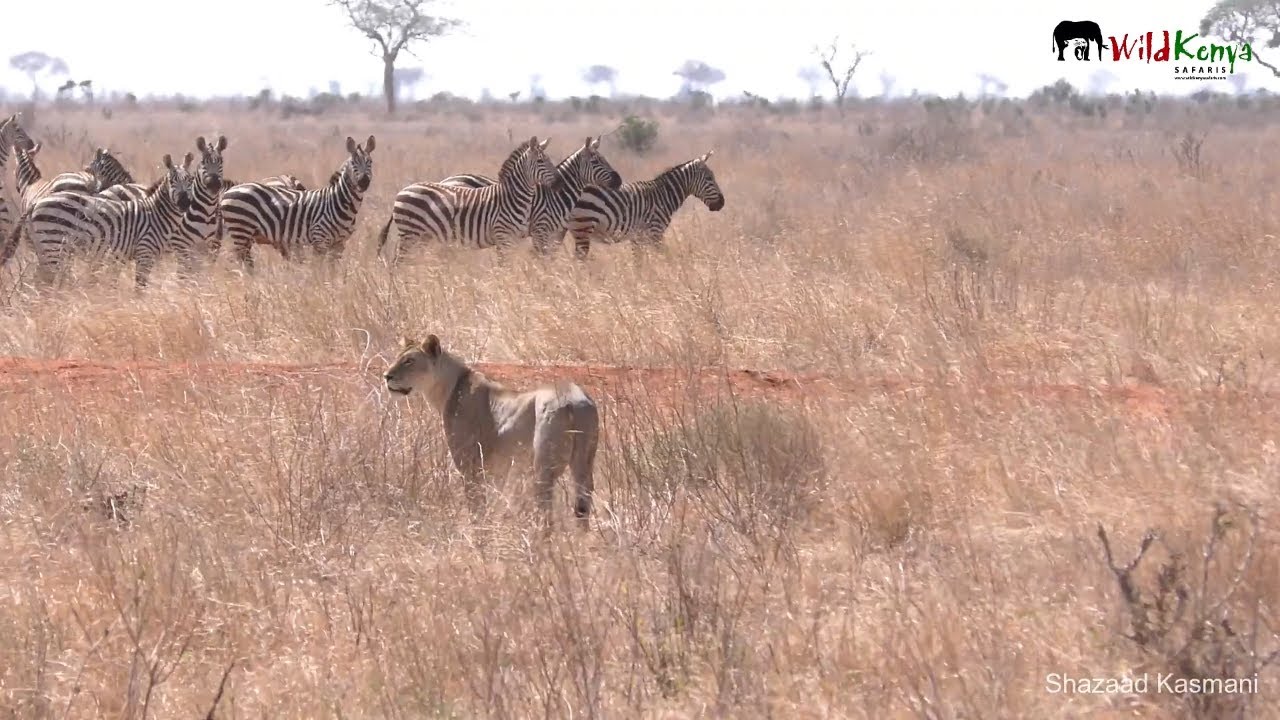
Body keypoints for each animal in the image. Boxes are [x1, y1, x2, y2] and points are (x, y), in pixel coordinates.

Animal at [383, 334, 600, 527]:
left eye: (409, 361)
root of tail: (571, 399)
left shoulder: (470, 466)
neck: (447, 388)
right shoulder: (498, 469)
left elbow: (476, 506)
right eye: (398, 357)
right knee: (582, 507)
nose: (386, 376)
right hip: (584, 463)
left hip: (544, 465)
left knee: (546, 514)